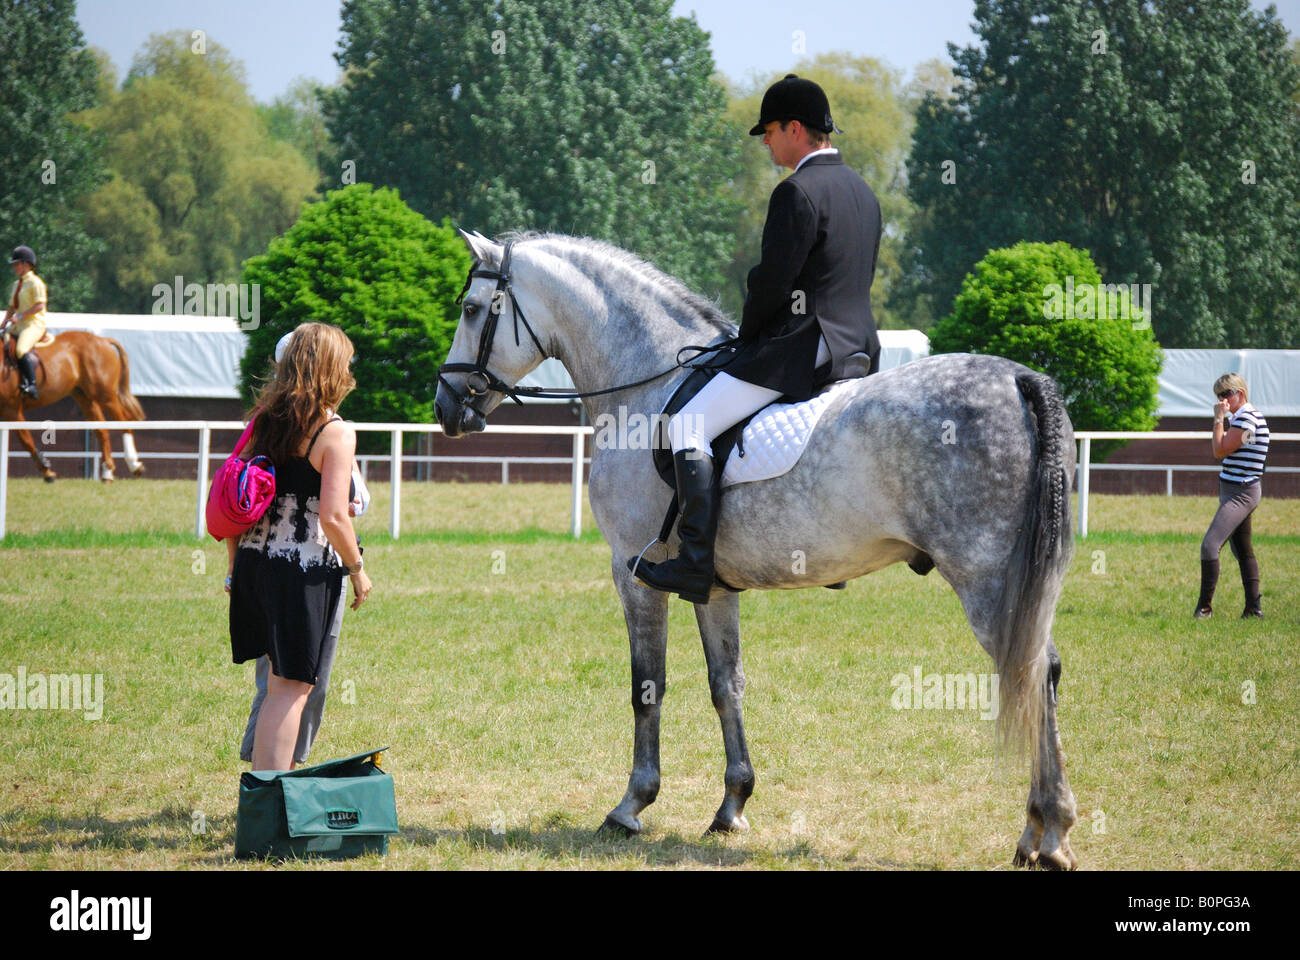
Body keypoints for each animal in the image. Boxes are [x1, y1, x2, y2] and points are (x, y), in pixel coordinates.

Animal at [0, 330, 147, 482]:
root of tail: (103, 340)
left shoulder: (11, 409)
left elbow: (26, 440)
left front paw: (48, 472)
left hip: (105, 396)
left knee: (124, 422)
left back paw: (134, 465)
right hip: (85, 398)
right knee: (102, 430)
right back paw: (108, 472)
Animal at [434, 231, 1080, 869]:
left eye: (471, 309)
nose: (445, 406)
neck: (646, 385)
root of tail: (1019, 380)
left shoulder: (634, 575)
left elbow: (648, 687)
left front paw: (631, 807)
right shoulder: (711, 587)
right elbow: (727, 684)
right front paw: (732, 805)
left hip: (985, 578)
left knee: (1032, 670)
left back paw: (1049, 834)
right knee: (1041, 673)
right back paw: (1037, 833)